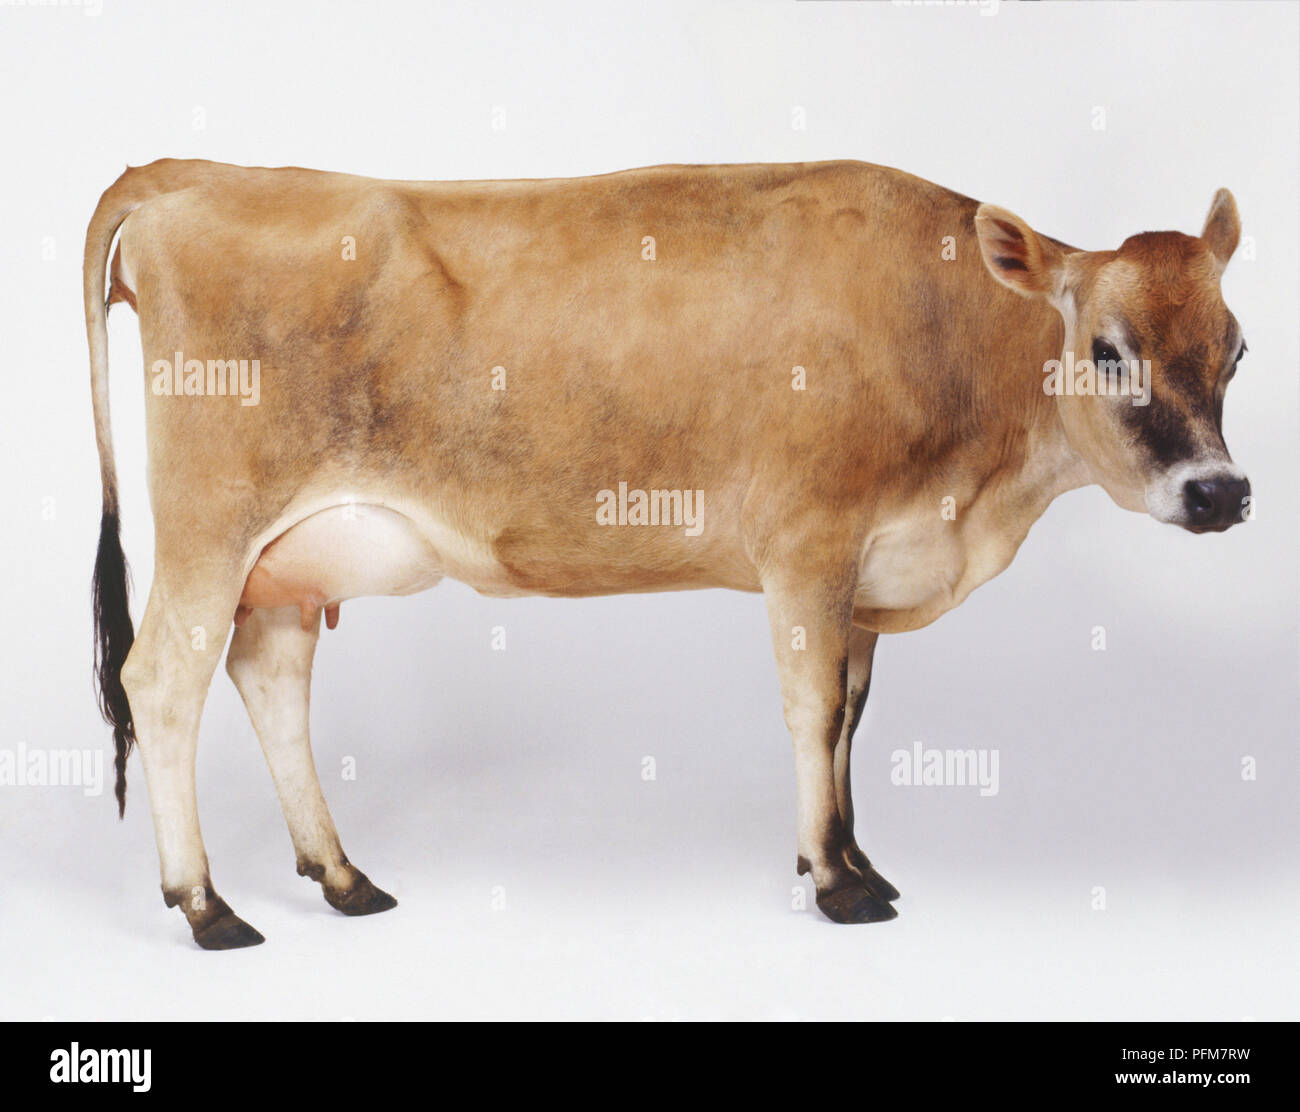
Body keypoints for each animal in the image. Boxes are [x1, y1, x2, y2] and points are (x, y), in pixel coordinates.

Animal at [85, 158, 1250, 948]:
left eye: (1237, 348)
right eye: (1108, 350)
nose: (1222, 491)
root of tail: (192, 177)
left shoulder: (866, 579)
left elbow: (852, 716)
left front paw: (850, 854)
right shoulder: (807, 546)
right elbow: (811, 712)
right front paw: (836, 883)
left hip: (286, 557)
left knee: (270, 678)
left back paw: (339, 874)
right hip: (210, 526)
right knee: (163, 680)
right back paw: (204, 903)